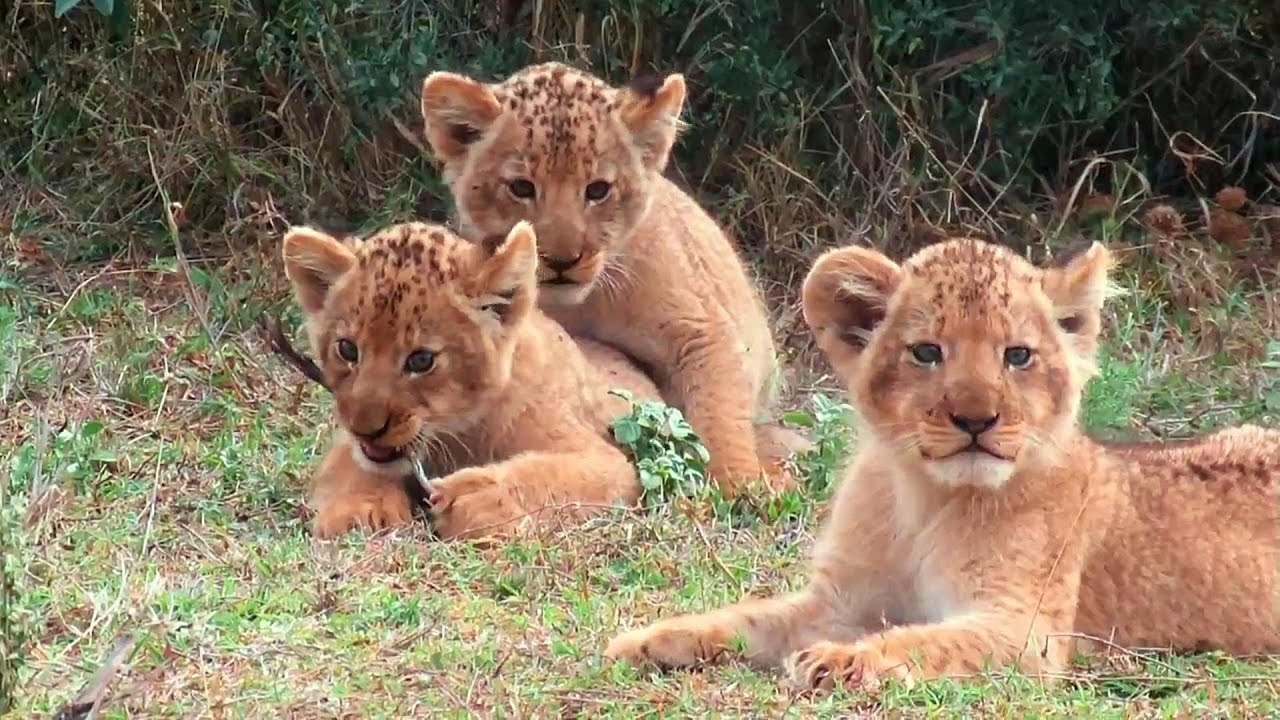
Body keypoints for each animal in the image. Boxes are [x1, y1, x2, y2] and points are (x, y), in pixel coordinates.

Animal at [418, 61, 794, 496]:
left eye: (598, 190)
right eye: (521, 187)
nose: (562, 260)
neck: (580, 307)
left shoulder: (700, 328)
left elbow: (720, 412)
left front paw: (740, 488)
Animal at [604, 237, 1280, 692]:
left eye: (1018, 355)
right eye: (927, 352)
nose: (975, 419)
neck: (925, 498)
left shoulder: (1025, 631)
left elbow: (924, 641)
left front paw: (842, 660)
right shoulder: (838, 602)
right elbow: (747, 617)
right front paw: (646, 642)